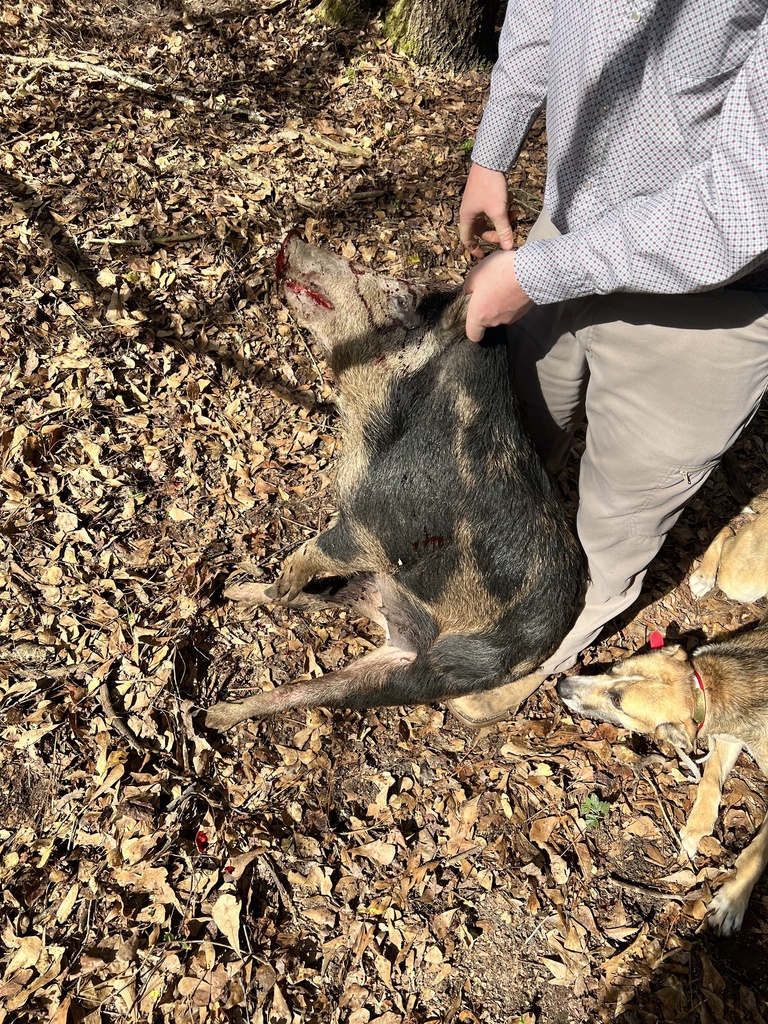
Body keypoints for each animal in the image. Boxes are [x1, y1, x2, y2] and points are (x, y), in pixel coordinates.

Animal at [204, 235, 586, 731]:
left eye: (401, 296)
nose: (291, 238)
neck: (370, 428)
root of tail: (392, 631)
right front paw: (275, 583)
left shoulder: (378, 525)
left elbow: (325, 545)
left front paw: (290, 570)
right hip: (370, 586)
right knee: (314, 601)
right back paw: (241, 591)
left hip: (430, 671)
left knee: (323, 689)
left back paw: (217, 715)